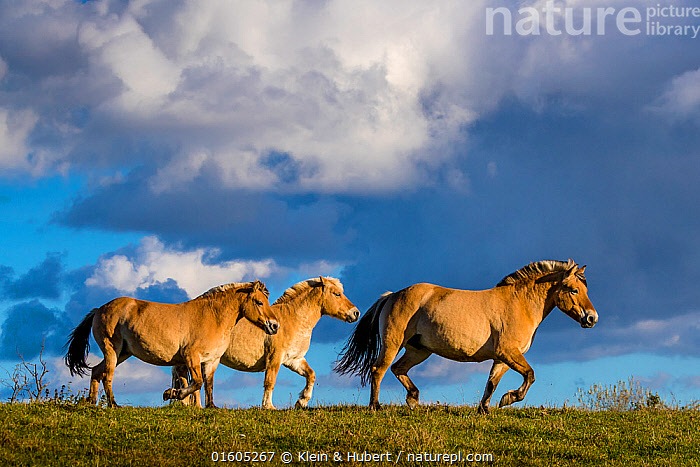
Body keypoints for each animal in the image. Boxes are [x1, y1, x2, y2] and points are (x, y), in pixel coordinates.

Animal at [65, 280, 279, 408]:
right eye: (259, 302)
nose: (274, 326)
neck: (212, 317)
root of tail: (100, 309)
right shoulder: (191, 357)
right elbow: (196, 383)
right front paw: (172, 394)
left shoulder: (212, 361)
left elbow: (208, 384)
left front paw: (210, 407)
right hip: (112, 350)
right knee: (107, 376)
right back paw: (113, 405)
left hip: (123, 353)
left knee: (96, 371)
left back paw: (91, 402)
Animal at [172, 276, 359, 409]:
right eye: (337, 294)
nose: (355, 313)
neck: (292, 320)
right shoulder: (275, 359)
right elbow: (270, 381)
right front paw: (268, 406)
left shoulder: (294, 360)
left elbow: (311, 375)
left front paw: (302, 402)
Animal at [334, 260, 598, 413]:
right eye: (574, 290)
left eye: (585, 289)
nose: (591, 318)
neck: (519, 304)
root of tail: (392, 295)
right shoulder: (509, 353)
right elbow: (530, 375)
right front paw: (509, 399)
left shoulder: (502, 358)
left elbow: (492, 383)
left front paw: (486, 409)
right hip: (393, 343)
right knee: (378, 370)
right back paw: (375, 406)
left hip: (419, 350)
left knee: (398, 369)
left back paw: (413, 399)